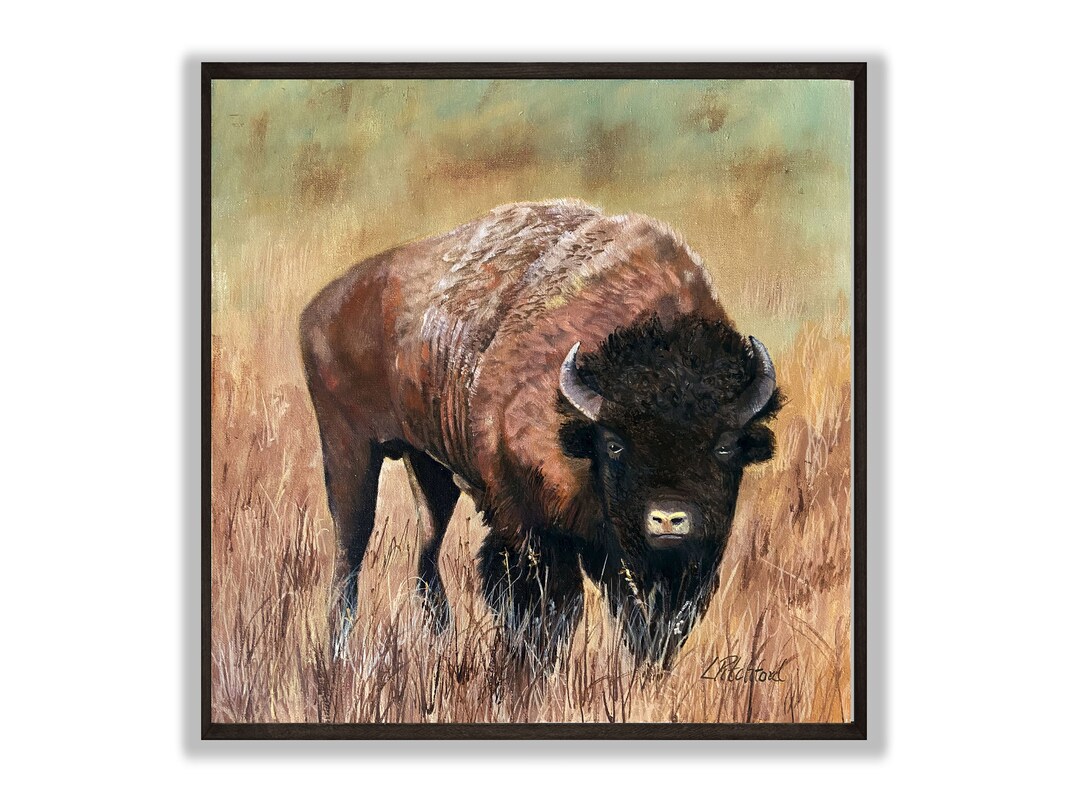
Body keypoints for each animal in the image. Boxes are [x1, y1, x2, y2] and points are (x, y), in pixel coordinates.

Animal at [300, 199, 780, 668]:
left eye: (725, 445)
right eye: (613, 443)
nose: (668, 519)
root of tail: (322, 306)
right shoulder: (529, 523)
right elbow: (547, 606)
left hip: (429, 469)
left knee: (426, 556)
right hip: (349, 452)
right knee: (350, 554)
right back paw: (338, 654)